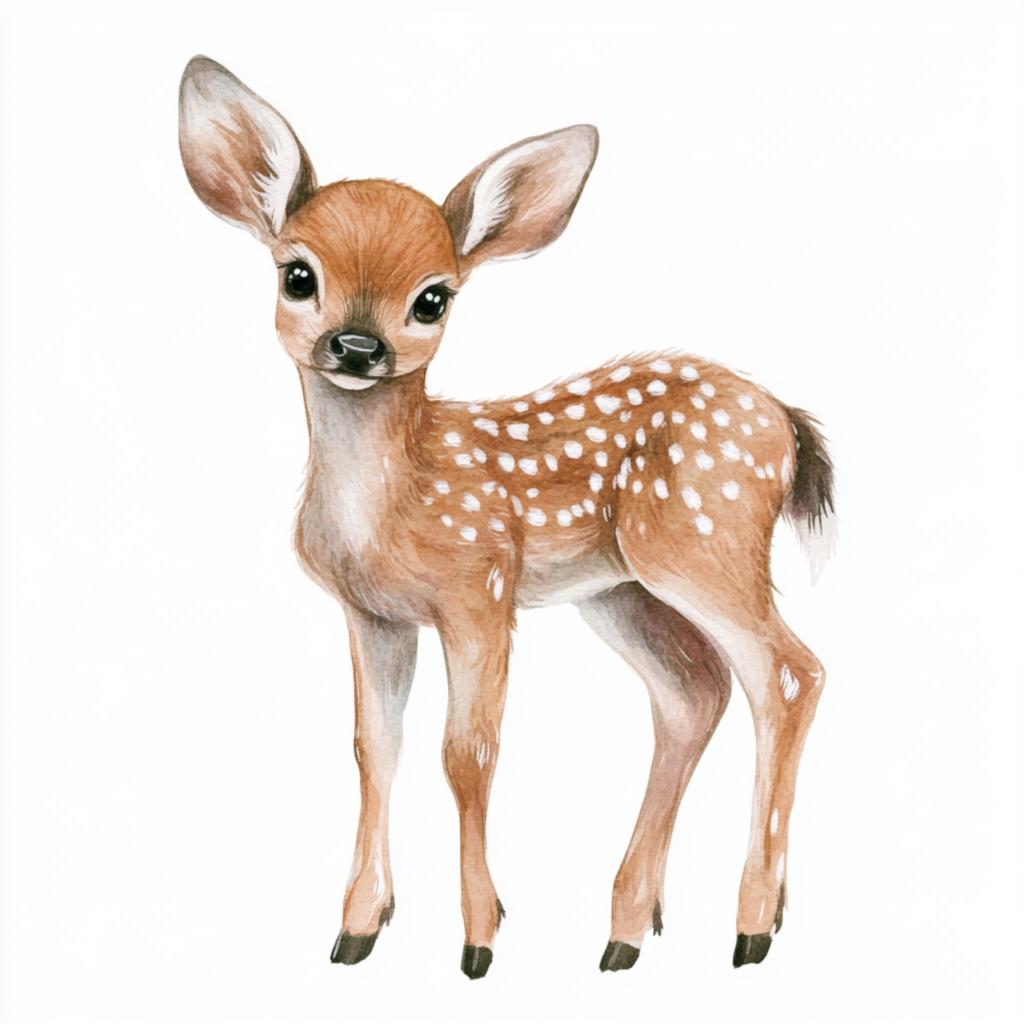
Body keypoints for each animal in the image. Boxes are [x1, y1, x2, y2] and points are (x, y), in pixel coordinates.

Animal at [178, 55, 835, 979]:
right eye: (296, 274)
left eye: (434, 297)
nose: (356, 347)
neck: (391, 505)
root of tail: (785, 420)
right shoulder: (373, 614)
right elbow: (374, 748)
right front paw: (358, 928)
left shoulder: (480, 587)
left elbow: (468, 754)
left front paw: (479, 938)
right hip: (620, 591)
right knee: (692, 693)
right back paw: (628, 930)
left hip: (706, 543)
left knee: (789, 674)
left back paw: (753, 924)